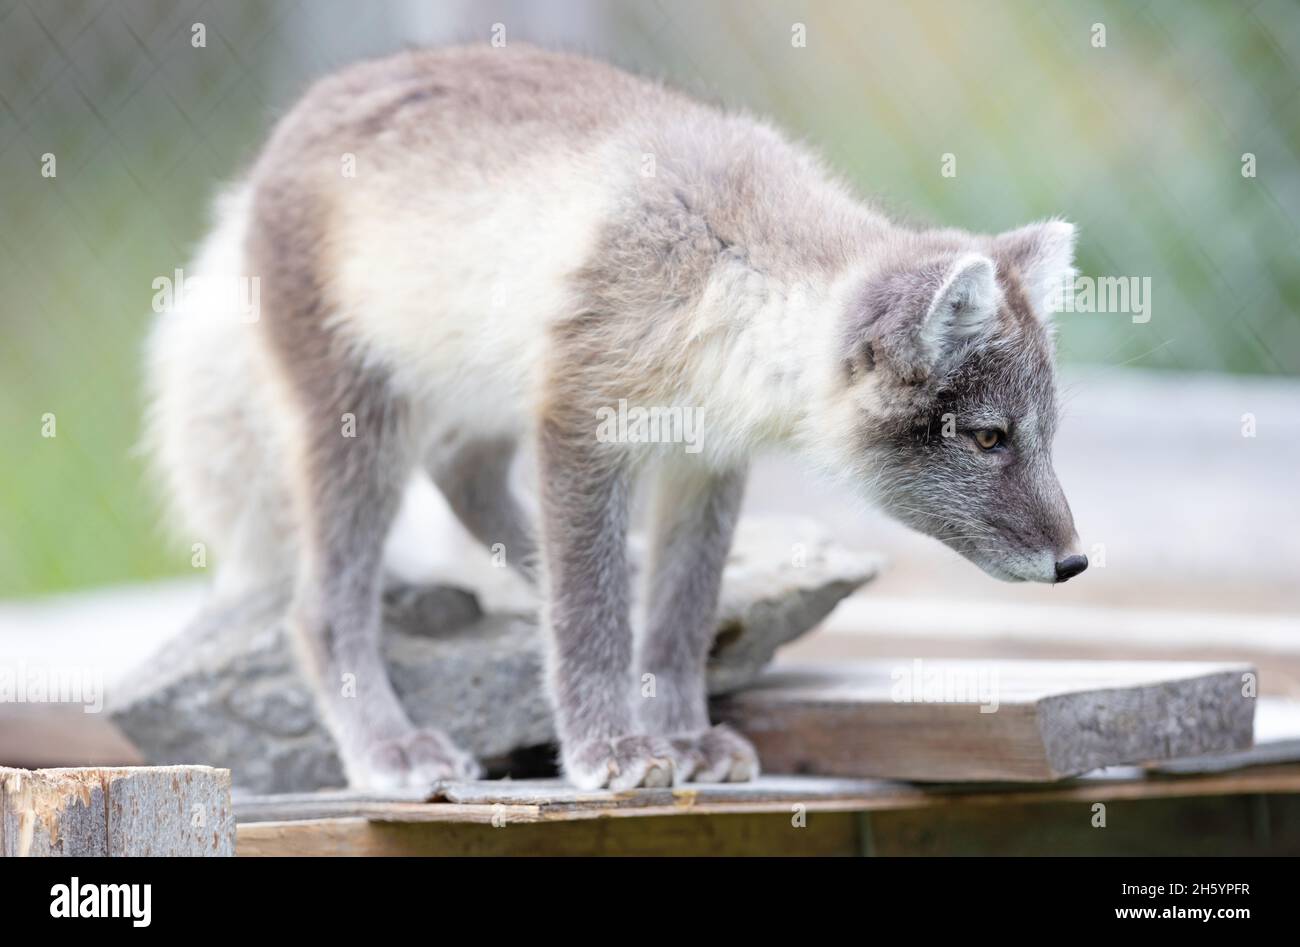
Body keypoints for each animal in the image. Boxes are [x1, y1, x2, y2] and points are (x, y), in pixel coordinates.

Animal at [146, 44, 1087, 792]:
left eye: (1044, 435)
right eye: (988, 437)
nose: (1076, 562)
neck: (726, 257)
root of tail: (286, 130)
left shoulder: (705, 457)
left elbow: (678, 618)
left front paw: (681, 732)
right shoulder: (580, 421)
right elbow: (587, 616)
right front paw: (608, 747)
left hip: (487, 392)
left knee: (465, 476)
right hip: (361, 427)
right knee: (320, 609)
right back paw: (389, 747)